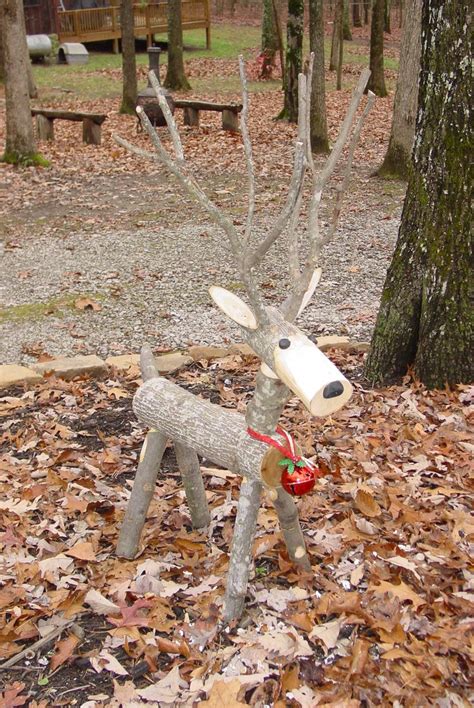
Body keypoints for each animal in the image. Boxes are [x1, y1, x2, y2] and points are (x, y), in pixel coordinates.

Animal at [114, 58, 373, 622]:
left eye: (310, 335)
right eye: (282, 346)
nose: (334, 391)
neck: (262, 440)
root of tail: (150, 379)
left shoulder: (275, 483)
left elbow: (292, 522)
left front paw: (304, 568)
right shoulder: (253, 482)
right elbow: (243, 544)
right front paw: (230, 615)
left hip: (177, 435)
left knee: (189, 473)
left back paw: (198, 521)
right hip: (154, 431)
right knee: (142, 484)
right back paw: (126, 549)